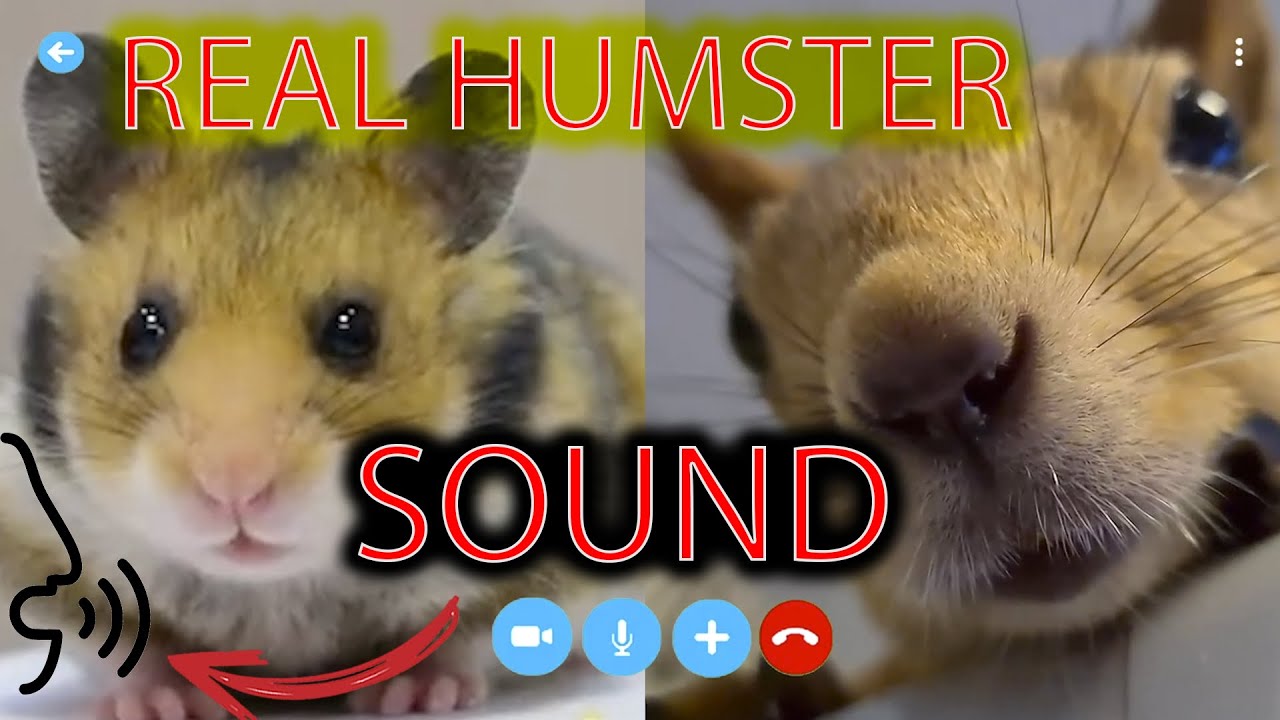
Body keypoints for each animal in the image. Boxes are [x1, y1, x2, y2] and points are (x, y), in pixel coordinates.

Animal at [3, 32, 738, 720]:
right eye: (141, 331)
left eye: (355, 330)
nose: (233, 489)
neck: (281, 584)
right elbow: (119, 639)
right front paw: (167, 702)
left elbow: (478, 628)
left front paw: (406, 695)